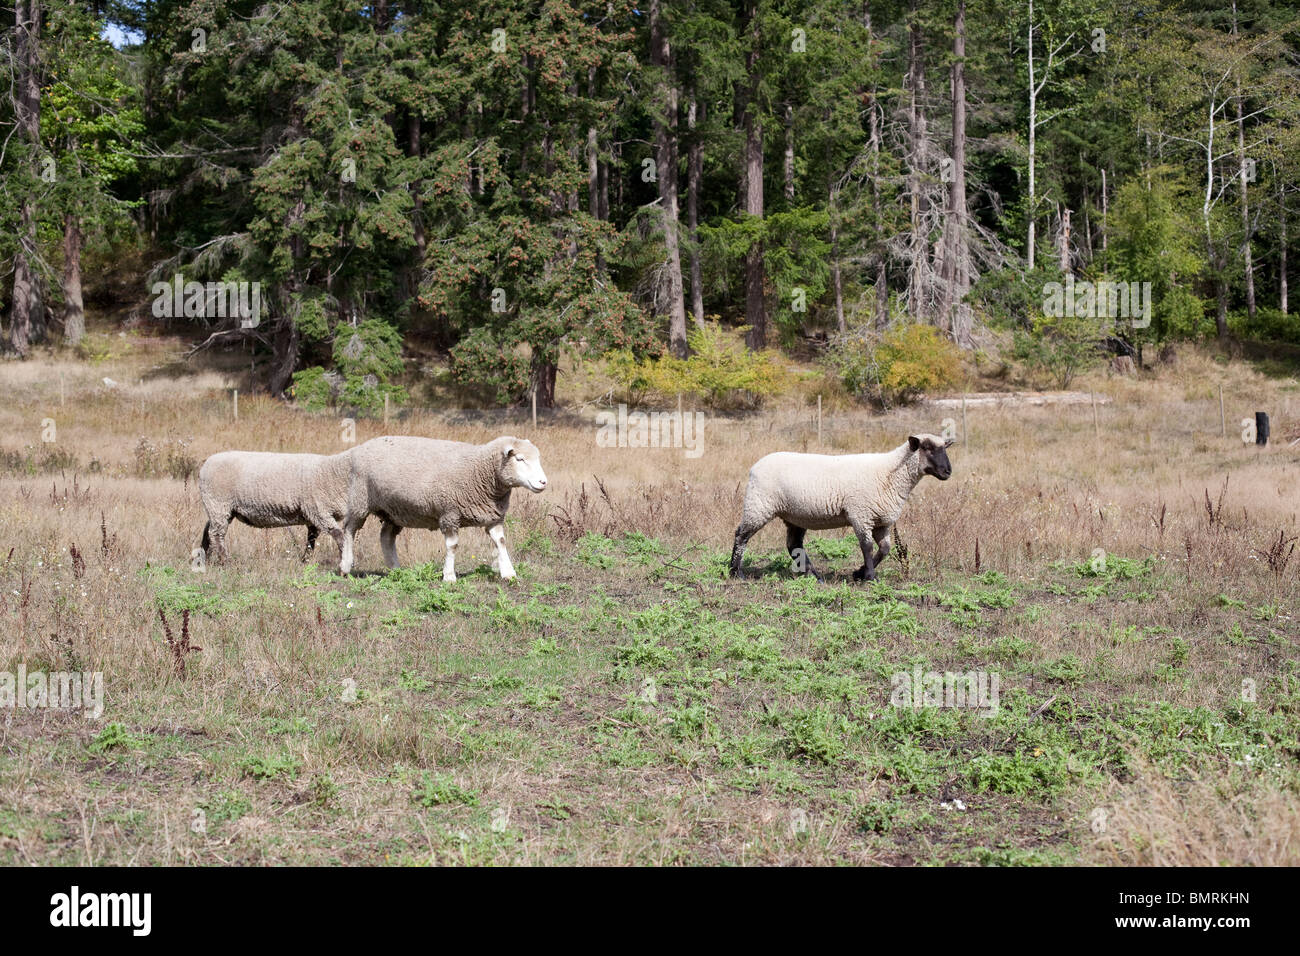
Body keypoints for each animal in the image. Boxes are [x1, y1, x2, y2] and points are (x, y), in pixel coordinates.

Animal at [198, 450, 358, 573]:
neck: (334, 472)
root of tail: (205, 465)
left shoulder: (313, 515)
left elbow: (311, 539)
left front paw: (305, 561)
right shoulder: (318, 511)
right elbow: (339, 537)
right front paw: (347, 562)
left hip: (222, 509)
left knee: (208, 530)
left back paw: (204, 558)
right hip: (218, 503)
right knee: (216, 534)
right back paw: (226, 562)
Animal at [343, 435, 547, 582]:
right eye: (520, 459)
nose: (543, 482)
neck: (479, 469)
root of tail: (361, 446)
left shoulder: (493, 516)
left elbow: (501, 542)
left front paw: (509, 573)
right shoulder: (450, 513)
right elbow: (453, 545)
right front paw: (449, 576)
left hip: (394, 510)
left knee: (386, 537)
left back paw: (395, 570)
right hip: (360, 500)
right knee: (349, 530)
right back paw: (345, 566)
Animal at [729, 433, 953, 583]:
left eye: (944, 449)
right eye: (928, 449)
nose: (948, 472)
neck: (891, 473)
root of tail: (754, 467)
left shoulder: (881, 521)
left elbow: (884, 549)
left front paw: (859, 573)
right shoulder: (861, 514)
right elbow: (866, 547)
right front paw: (870, 577)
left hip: (794, 515)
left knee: (793, 545)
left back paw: (814, 575)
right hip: (758, 505)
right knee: (741, 535)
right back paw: (736, 572)